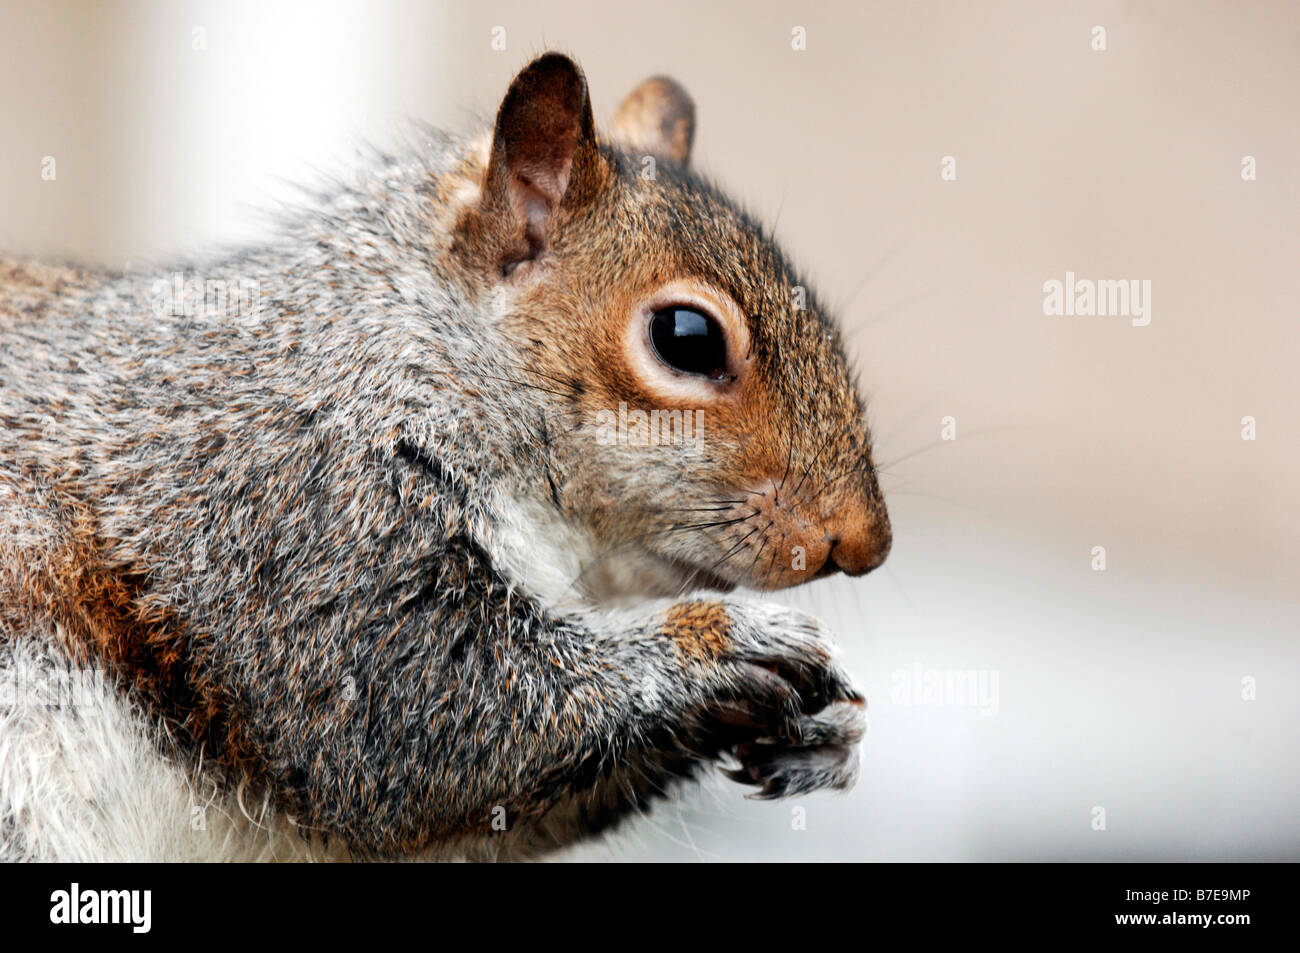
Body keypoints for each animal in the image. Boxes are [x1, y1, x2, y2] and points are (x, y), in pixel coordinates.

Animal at [0, 53, 891, 861]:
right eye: (687, 338)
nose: (863, 543)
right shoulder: (294, 505)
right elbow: (418, 719)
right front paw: (729, 641)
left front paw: (834, 734)